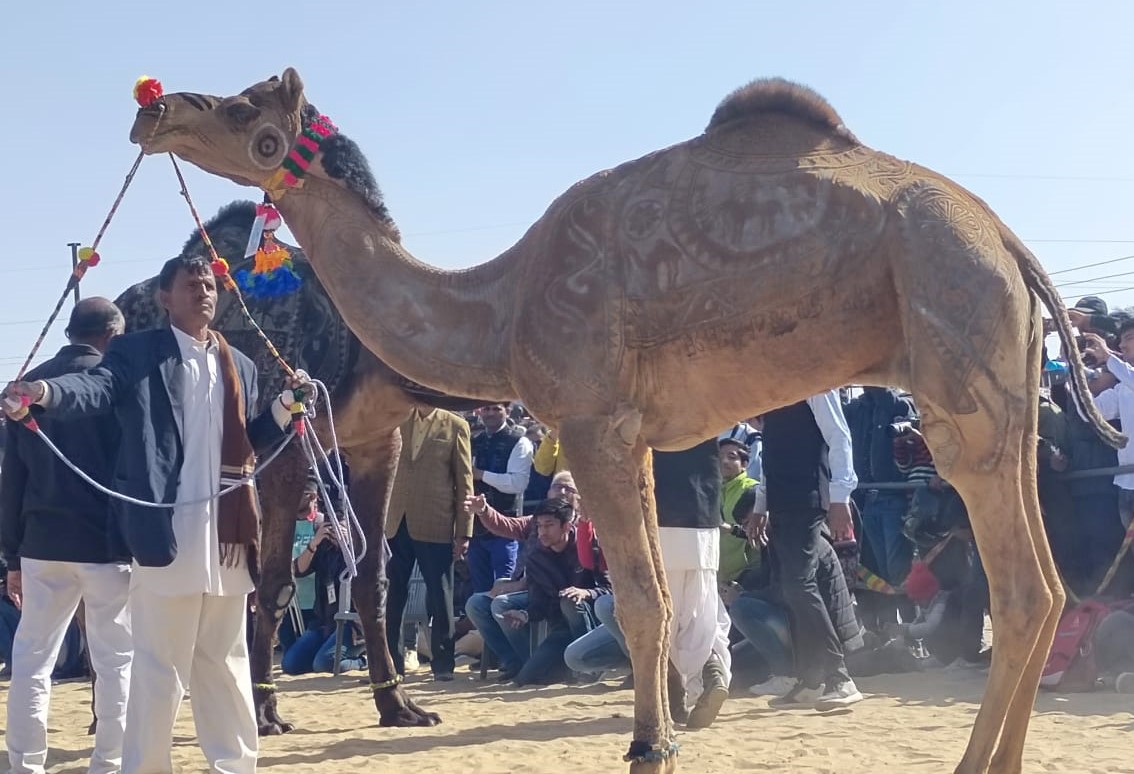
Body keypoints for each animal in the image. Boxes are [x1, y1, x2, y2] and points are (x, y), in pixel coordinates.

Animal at [114, 201, 480, 734]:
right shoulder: (285, 453)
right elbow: (274, 584)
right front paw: (265, 713)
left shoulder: (377, 443)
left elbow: (372, 578)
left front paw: (399, 706)